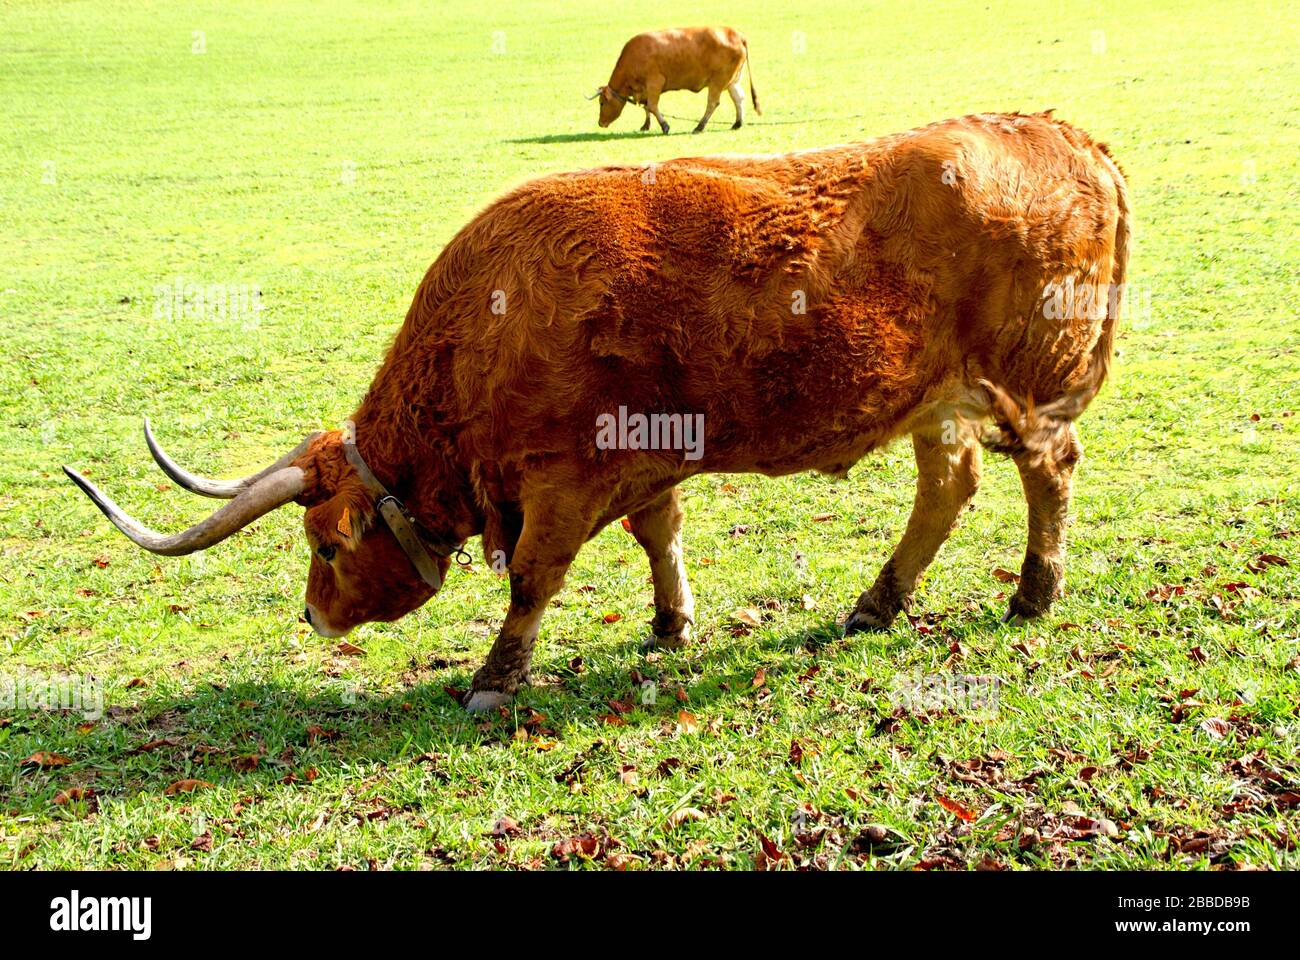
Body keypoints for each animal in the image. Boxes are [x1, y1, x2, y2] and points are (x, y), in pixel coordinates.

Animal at [66, 112, 1130, 713]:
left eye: (327, 545)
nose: (314, 614)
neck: (486, 326)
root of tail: (1062, 134)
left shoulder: (562, 483)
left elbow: (534, 580)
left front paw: (495, 681)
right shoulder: (640, 461)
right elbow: (660, 534)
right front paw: (669, 621)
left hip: (1026, 387)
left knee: (1048, 469)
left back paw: (1034, 592)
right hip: (938, 400)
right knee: (948, 488)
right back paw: (878, 602)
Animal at [589, 26, 760, 134]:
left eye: (602, 103)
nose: (600, 123)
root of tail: (736, 34)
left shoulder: (654, 83)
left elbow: (652, 106)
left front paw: (665, 126)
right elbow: (646, 106)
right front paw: (646, 125)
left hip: (718, 80)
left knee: (712, 103)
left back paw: (699, 127)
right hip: (733, 80)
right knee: (738, 98)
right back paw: (737, 123)